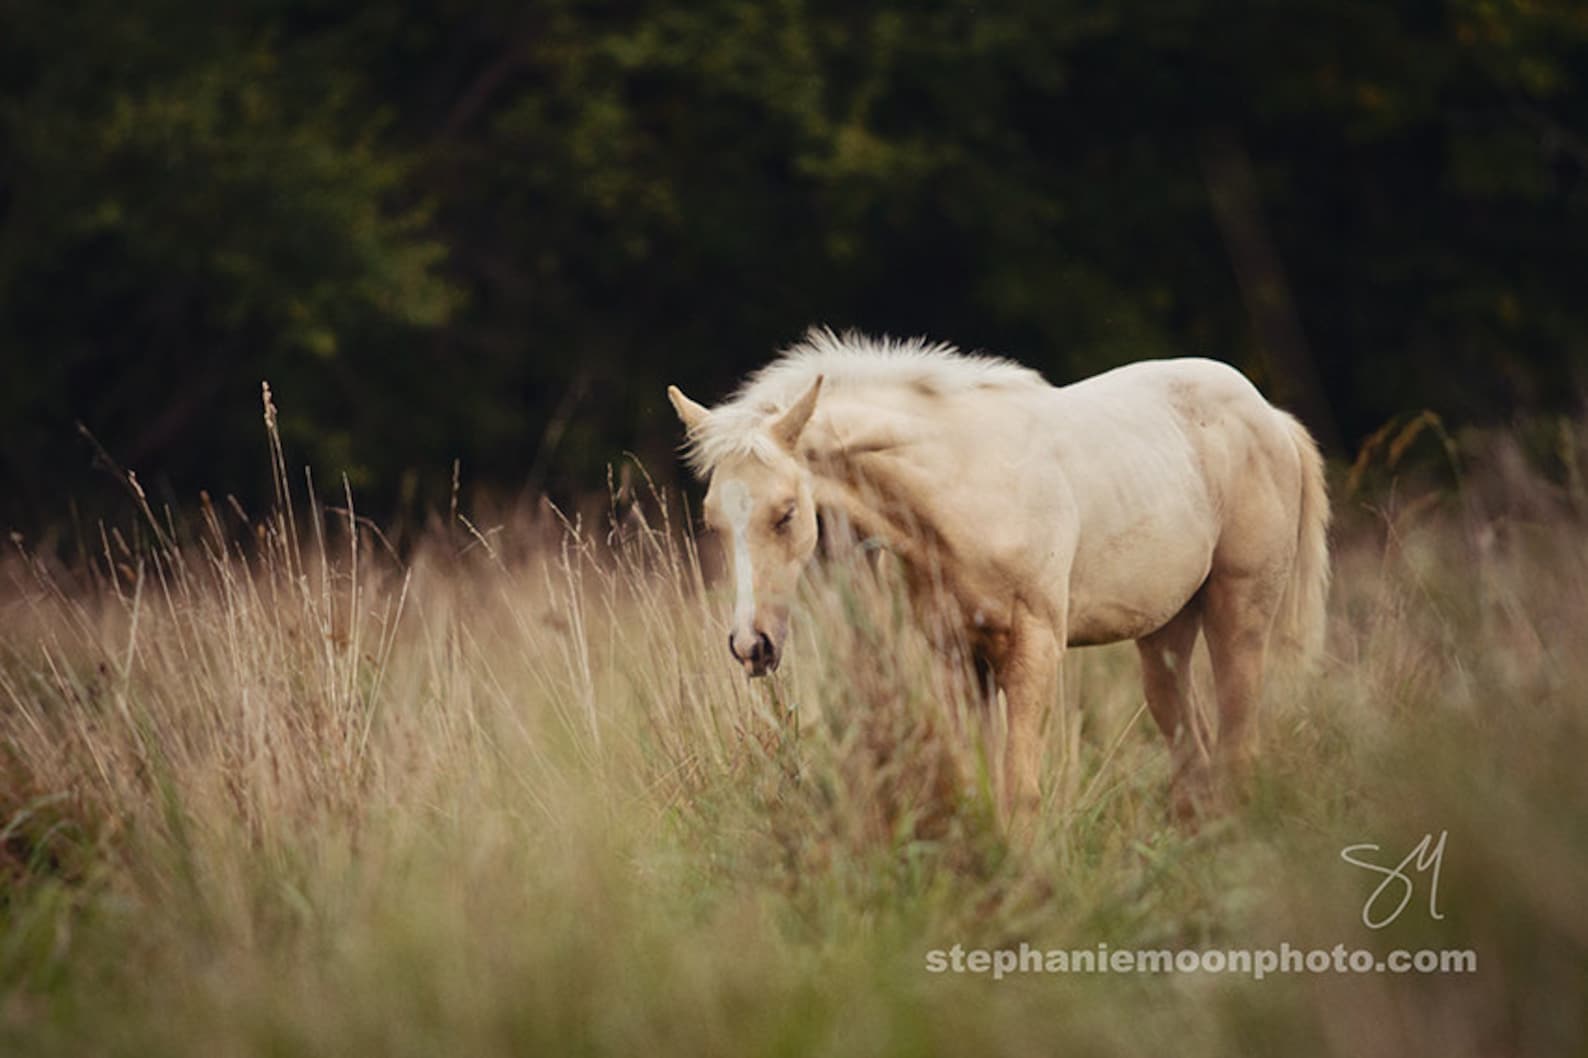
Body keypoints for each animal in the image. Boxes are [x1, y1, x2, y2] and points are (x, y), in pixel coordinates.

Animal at [667, 328, 1330, 820]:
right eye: (713, 520)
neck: (964, 482)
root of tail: (1270, 416)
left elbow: (1021, 790)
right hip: (1164, 633)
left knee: (1237, 749)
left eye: (785, 513)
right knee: (1192, 751)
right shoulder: (957, 657)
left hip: (1238, 618)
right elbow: (974, 781)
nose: (750, 645)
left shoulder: (1033, 651)